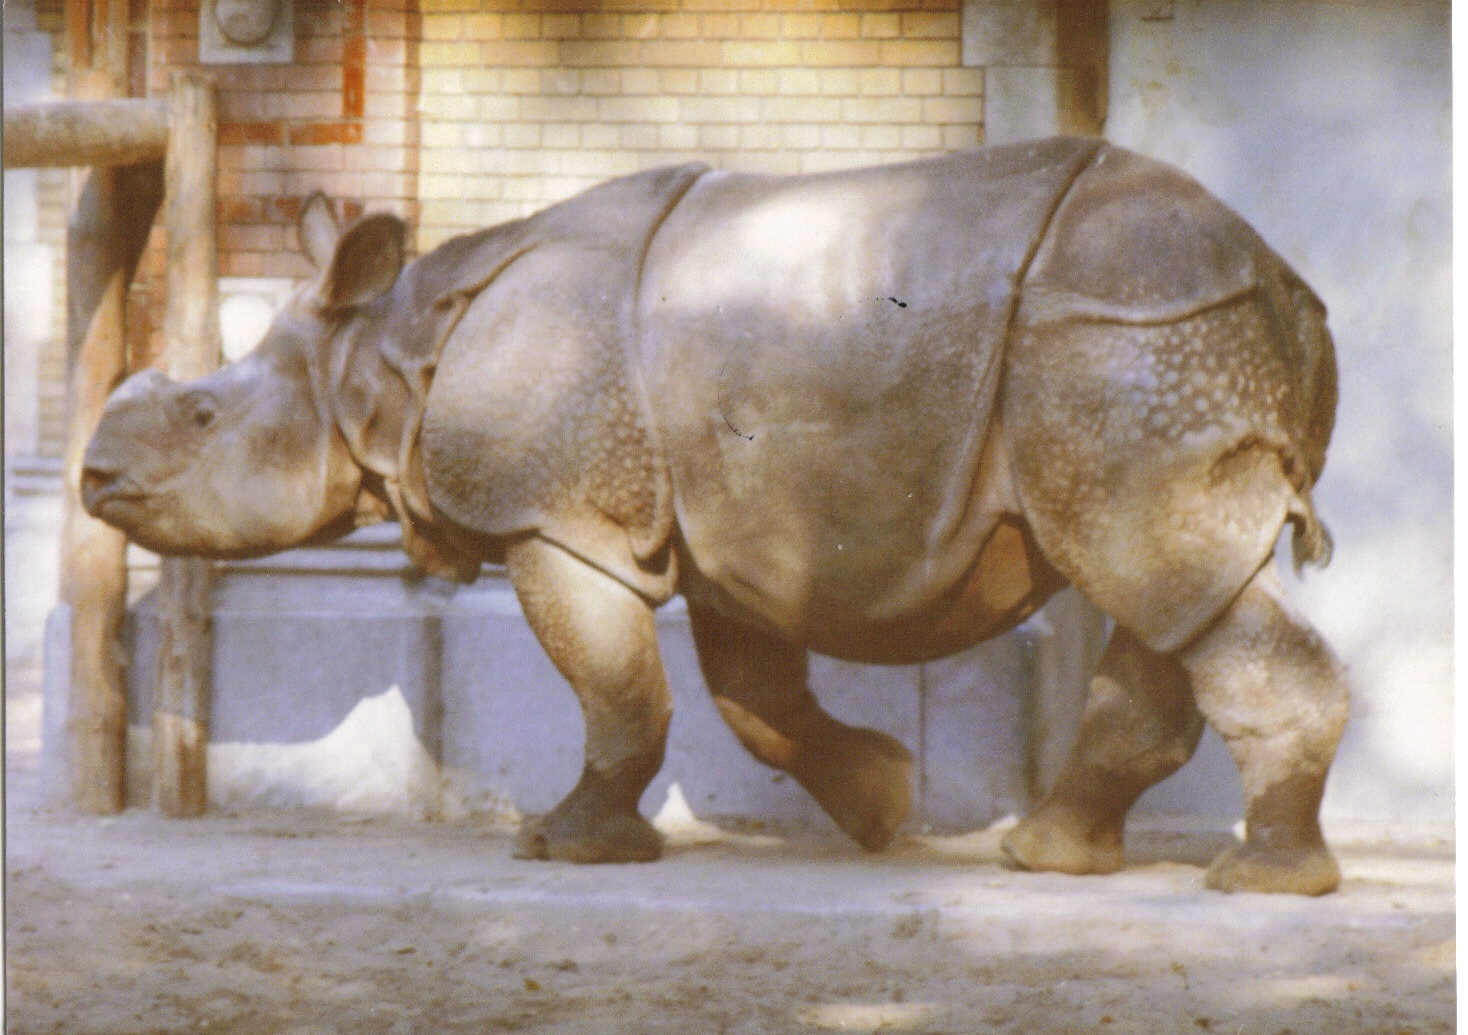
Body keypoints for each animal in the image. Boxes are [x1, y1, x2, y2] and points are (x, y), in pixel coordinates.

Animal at [82, 137, 1347, 894]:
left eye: (199, 414)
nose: (94, 477)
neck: (383, 354)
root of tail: (1283, 278)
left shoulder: (557, 515)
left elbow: (618, 690)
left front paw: (564, 849)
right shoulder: (736, 528)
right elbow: (753, 697)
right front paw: (881, 804)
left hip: (1131, 336)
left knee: (1161, 574)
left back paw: (1259, 883)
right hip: (1142, 346)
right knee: (1176, 588)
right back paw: (1050, 858)